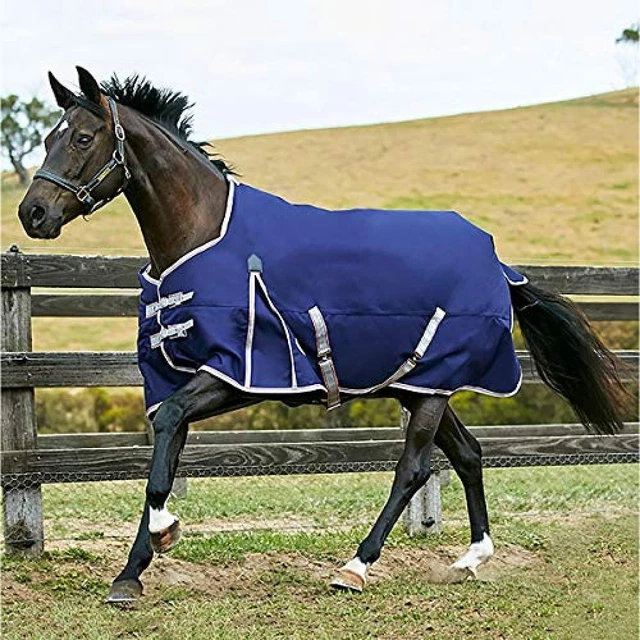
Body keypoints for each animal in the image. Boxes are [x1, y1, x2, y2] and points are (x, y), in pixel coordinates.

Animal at [17, 67, 628, 604]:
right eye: (47, 137)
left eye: (83, 137)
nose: (33, 213)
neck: (206, 236)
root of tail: (498, 263)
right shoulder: (183, 376)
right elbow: (164, 456)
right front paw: (131, 575)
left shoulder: (237, 374)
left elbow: (164, 441)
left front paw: (164, 535)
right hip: (420, 386)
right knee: (470, 454)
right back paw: (471, 558)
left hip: (431, 389)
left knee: (413, 468)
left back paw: (355, 567)